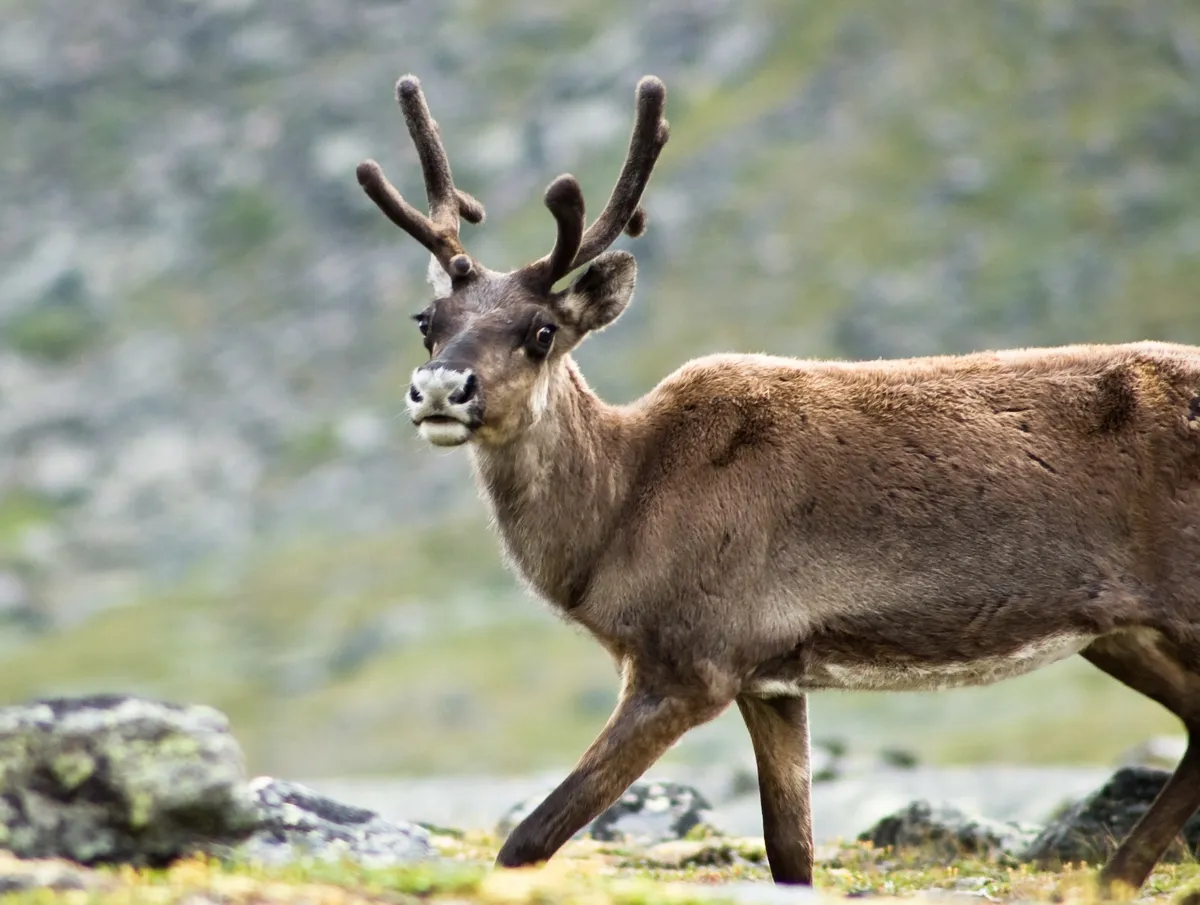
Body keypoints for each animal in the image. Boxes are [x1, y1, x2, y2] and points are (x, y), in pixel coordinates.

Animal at [355, 72, 1200, 896]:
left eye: (542, 330)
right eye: (427, 321)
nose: (439, 389)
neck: (620, 509)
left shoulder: (688, 661)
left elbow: (527, 840)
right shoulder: (773, 678)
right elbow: (791, 851)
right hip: (1123, 630)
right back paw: (1113, 877)